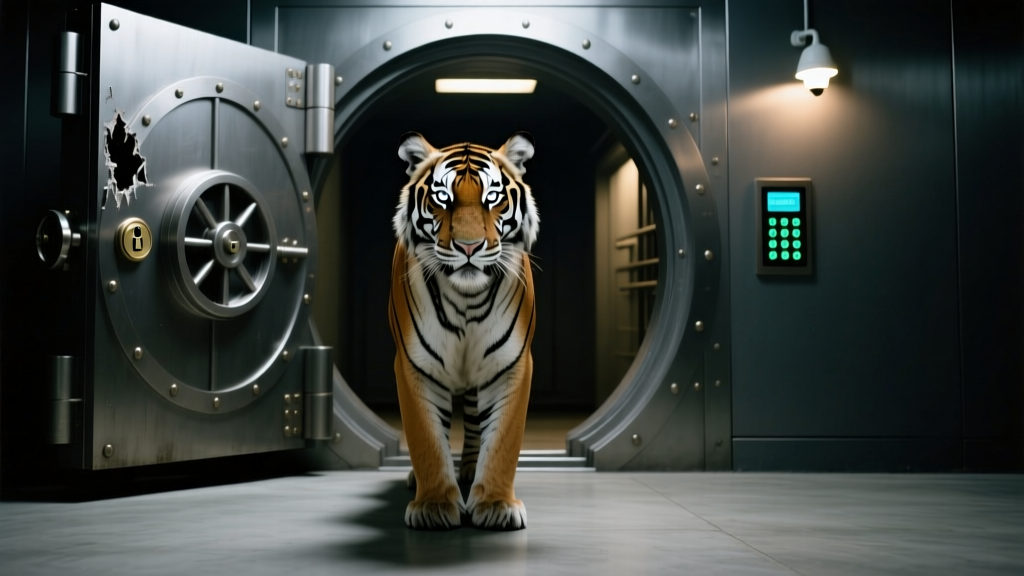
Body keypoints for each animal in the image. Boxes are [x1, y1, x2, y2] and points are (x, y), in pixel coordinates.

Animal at [389, 132, 538, 531]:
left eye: (493, 197)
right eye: (443, 197)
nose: (469, 247)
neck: (466, 300)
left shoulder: (511, 365)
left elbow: (502, 440)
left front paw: (497, 505)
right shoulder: (414, 366)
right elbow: (426, 437)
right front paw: (434, 506)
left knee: (473, 422)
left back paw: (470, 470)